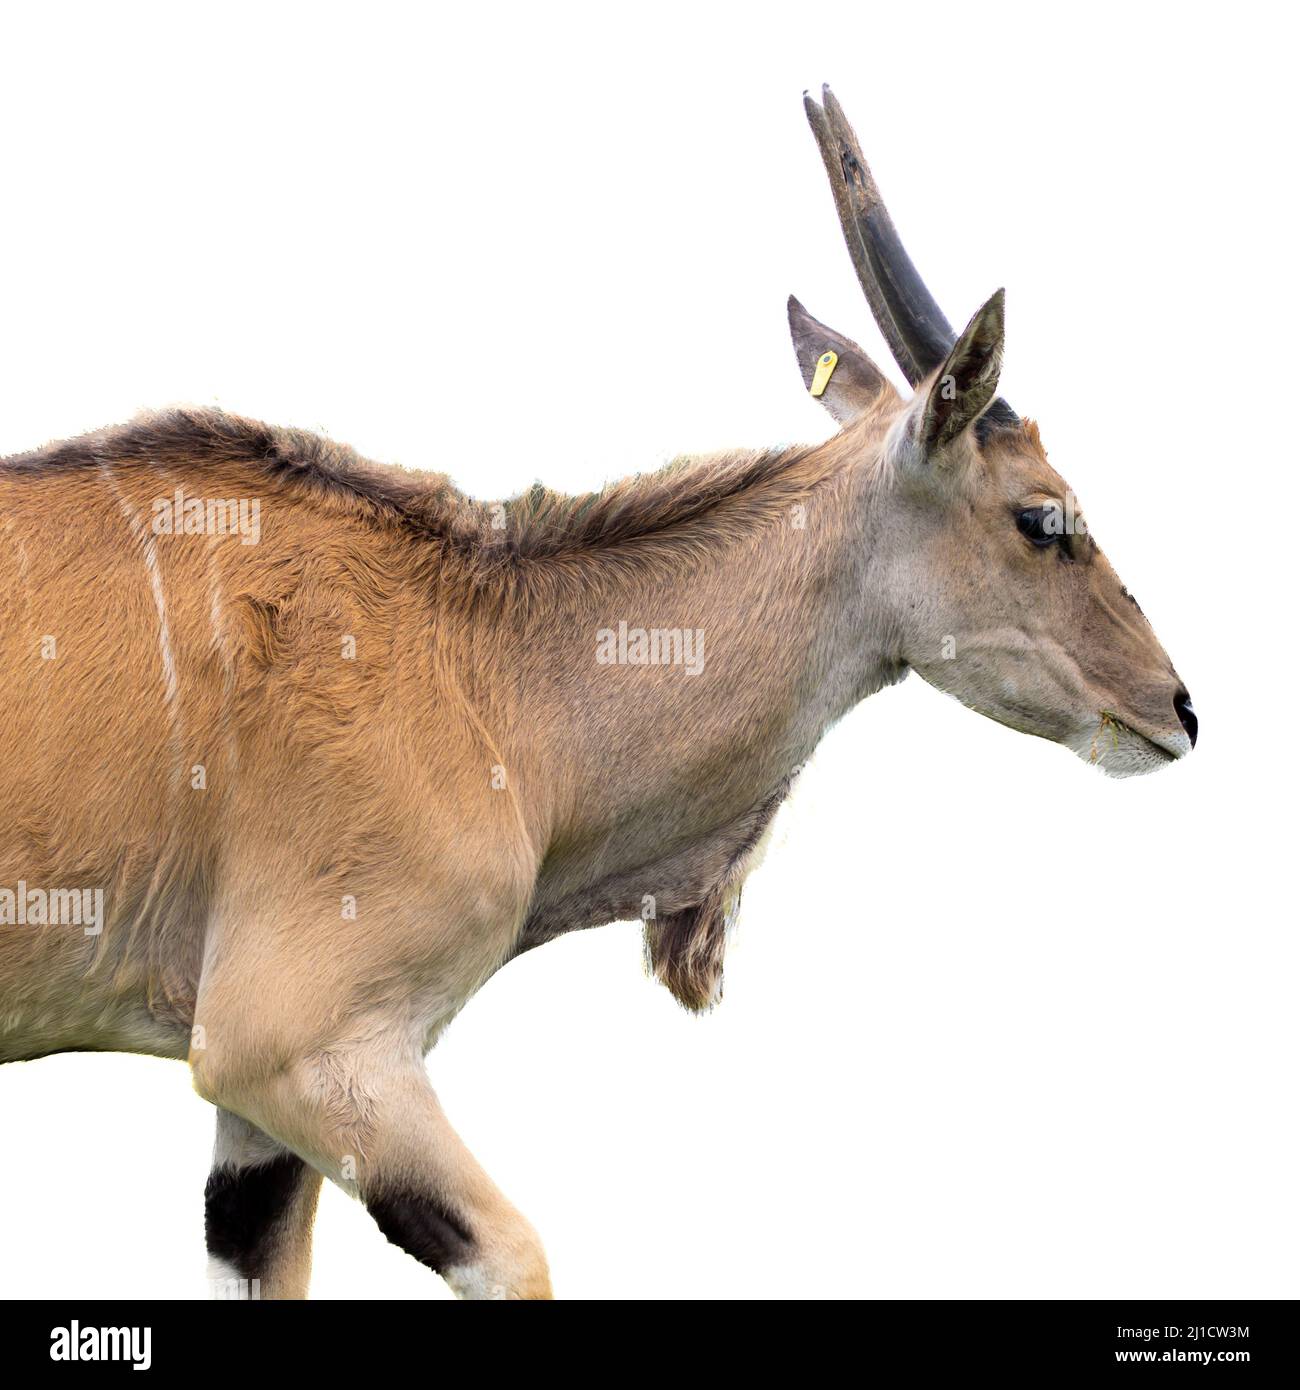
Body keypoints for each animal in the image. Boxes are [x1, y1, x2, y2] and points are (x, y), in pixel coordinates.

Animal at [0, 86, 1196, 1301]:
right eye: (1043, 517)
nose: (1178, 708)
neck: (485, 672)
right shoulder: (296, 1045)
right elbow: (519, 1257)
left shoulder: (262, 1116)